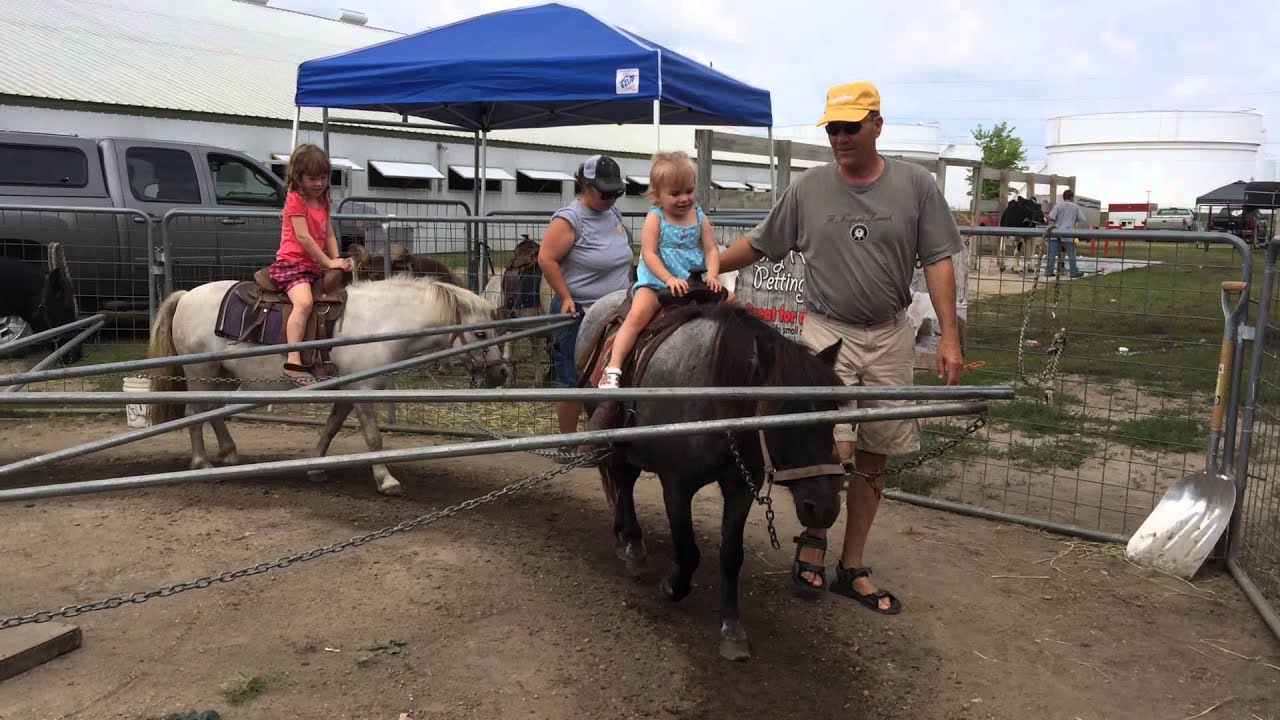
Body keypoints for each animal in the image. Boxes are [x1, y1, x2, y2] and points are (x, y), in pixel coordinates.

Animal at [144, 274, 509, 496]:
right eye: (480, 333)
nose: (500, 375)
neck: (379, 322)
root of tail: (185, 296)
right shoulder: (363, 392)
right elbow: (373, 437)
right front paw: (386, 480)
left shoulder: (348, 392)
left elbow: (331, 428)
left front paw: (316, 468)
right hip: (200, 372)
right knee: (195, 412)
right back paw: (201, 462)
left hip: (222, 375)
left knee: (214, 412)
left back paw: (230, 454)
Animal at [575, 290, 847, 661]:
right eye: (779, 414)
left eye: (833, 416)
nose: (824, 508)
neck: (716, 401)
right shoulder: (675, 486)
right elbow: (688, 551)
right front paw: (673, 586)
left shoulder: (741, 488)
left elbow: (731, 556)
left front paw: (731, 629)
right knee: (624, 480)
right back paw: (633, 546)